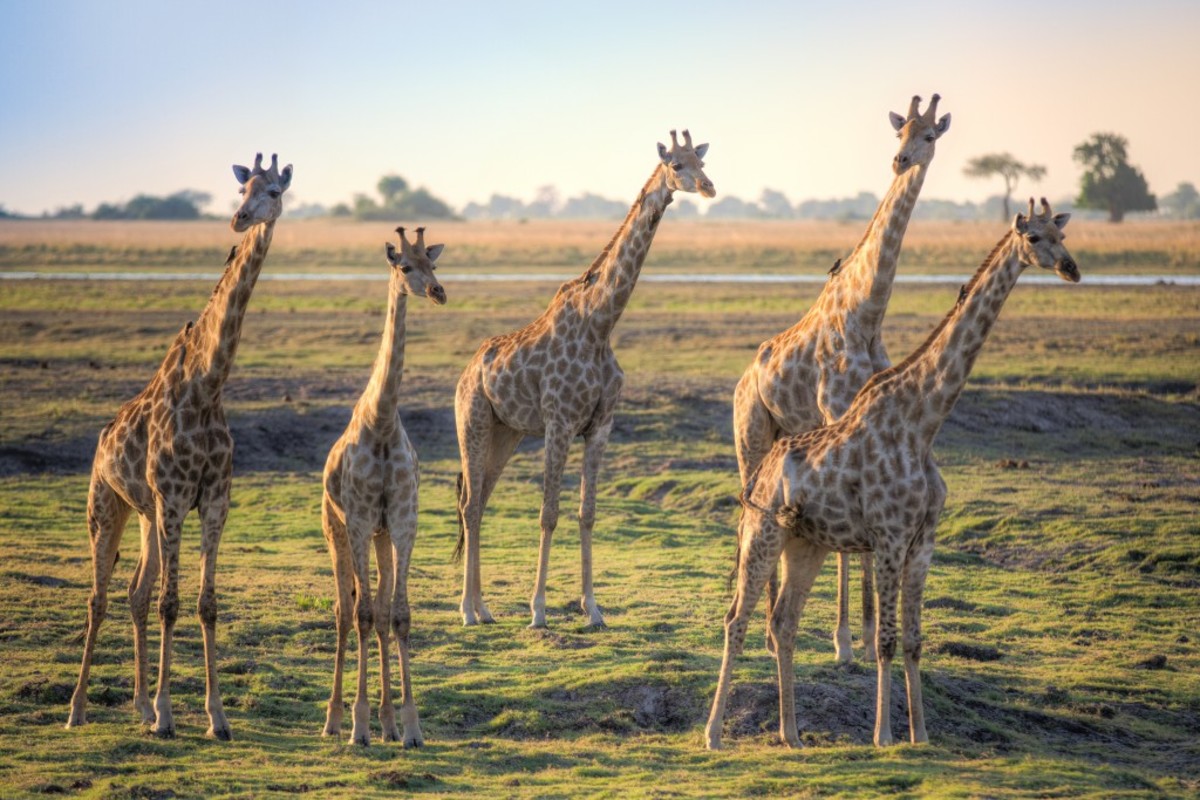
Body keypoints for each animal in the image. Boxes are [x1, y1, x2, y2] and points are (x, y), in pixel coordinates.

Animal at [66, 153, 292, 739]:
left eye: (275, 191)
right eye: (242, 188)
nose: (239, 219)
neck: (208, 385)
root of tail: (101, 439)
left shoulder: (213, 500)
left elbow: (205, 603)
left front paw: (216, 717)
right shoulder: (173, 499)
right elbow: (172, 603)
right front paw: (169, 715)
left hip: (145, 515)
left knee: (134, 593)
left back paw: (140, 706)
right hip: (107, 506)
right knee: (100, 597)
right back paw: (79, 709)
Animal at [454, 130, 715, 628]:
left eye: (703, 161)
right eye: (675, 164)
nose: (709, 187)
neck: (601, 323)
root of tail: (466, 372)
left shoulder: (600, 427)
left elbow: (587, 512)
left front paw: (592, 608)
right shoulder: (558, 424)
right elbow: (548, 513)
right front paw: (538, 610)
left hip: (506, 433)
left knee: (478, 502)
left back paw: (483, 608)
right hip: (472, 423)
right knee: (469, 505)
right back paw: (467, 612)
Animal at [706, 199, 1079, 750]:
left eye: (1062, 234)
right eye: (1033, 238)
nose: (1072, 269)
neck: (923, 422)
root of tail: (761, 474)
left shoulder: (923, 541)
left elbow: (914, 640)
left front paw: (920, 734)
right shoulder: (888, 535)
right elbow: (883, 640)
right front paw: (884, 735)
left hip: (806, 545)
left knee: (783, 622)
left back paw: (792, 735)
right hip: (763, 530)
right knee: (737, 620)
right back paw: (713, 734)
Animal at [733, 94, 951, 663]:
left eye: (930, 136)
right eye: (899, 134)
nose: (900, 162)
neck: (866, 313)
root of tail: (742, 381)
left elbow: (856, 541)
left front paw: (865, 633)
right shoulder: (839, 416)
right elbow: (849, 547)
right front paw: (847, 639)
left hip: (783, 434)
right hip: (751, 435)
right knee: (750, 508)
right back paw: (767, 626)